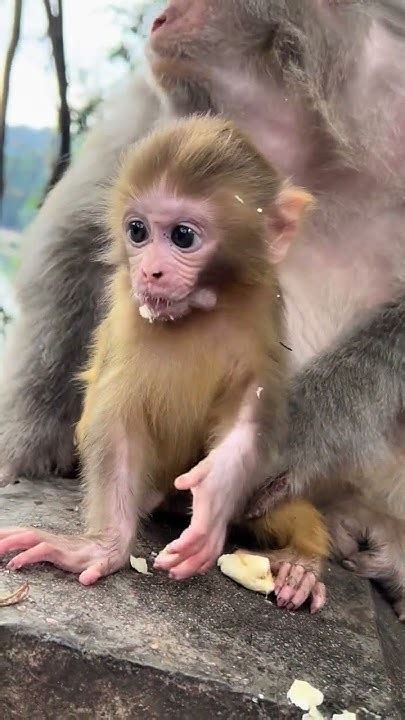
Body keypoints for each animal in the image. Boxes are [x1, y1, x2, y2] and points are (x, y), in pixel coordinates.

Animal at [0, 116, 328, 613]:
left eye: (182, 236)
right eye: (137, 231)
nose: (149, 271)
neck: (197, 312)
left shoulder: (260, 314)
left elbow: (249, 410)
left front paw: (214, 493)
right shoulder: (129, 323)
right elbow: (116, 422)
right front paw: (102, 547)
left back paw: (300, 562)